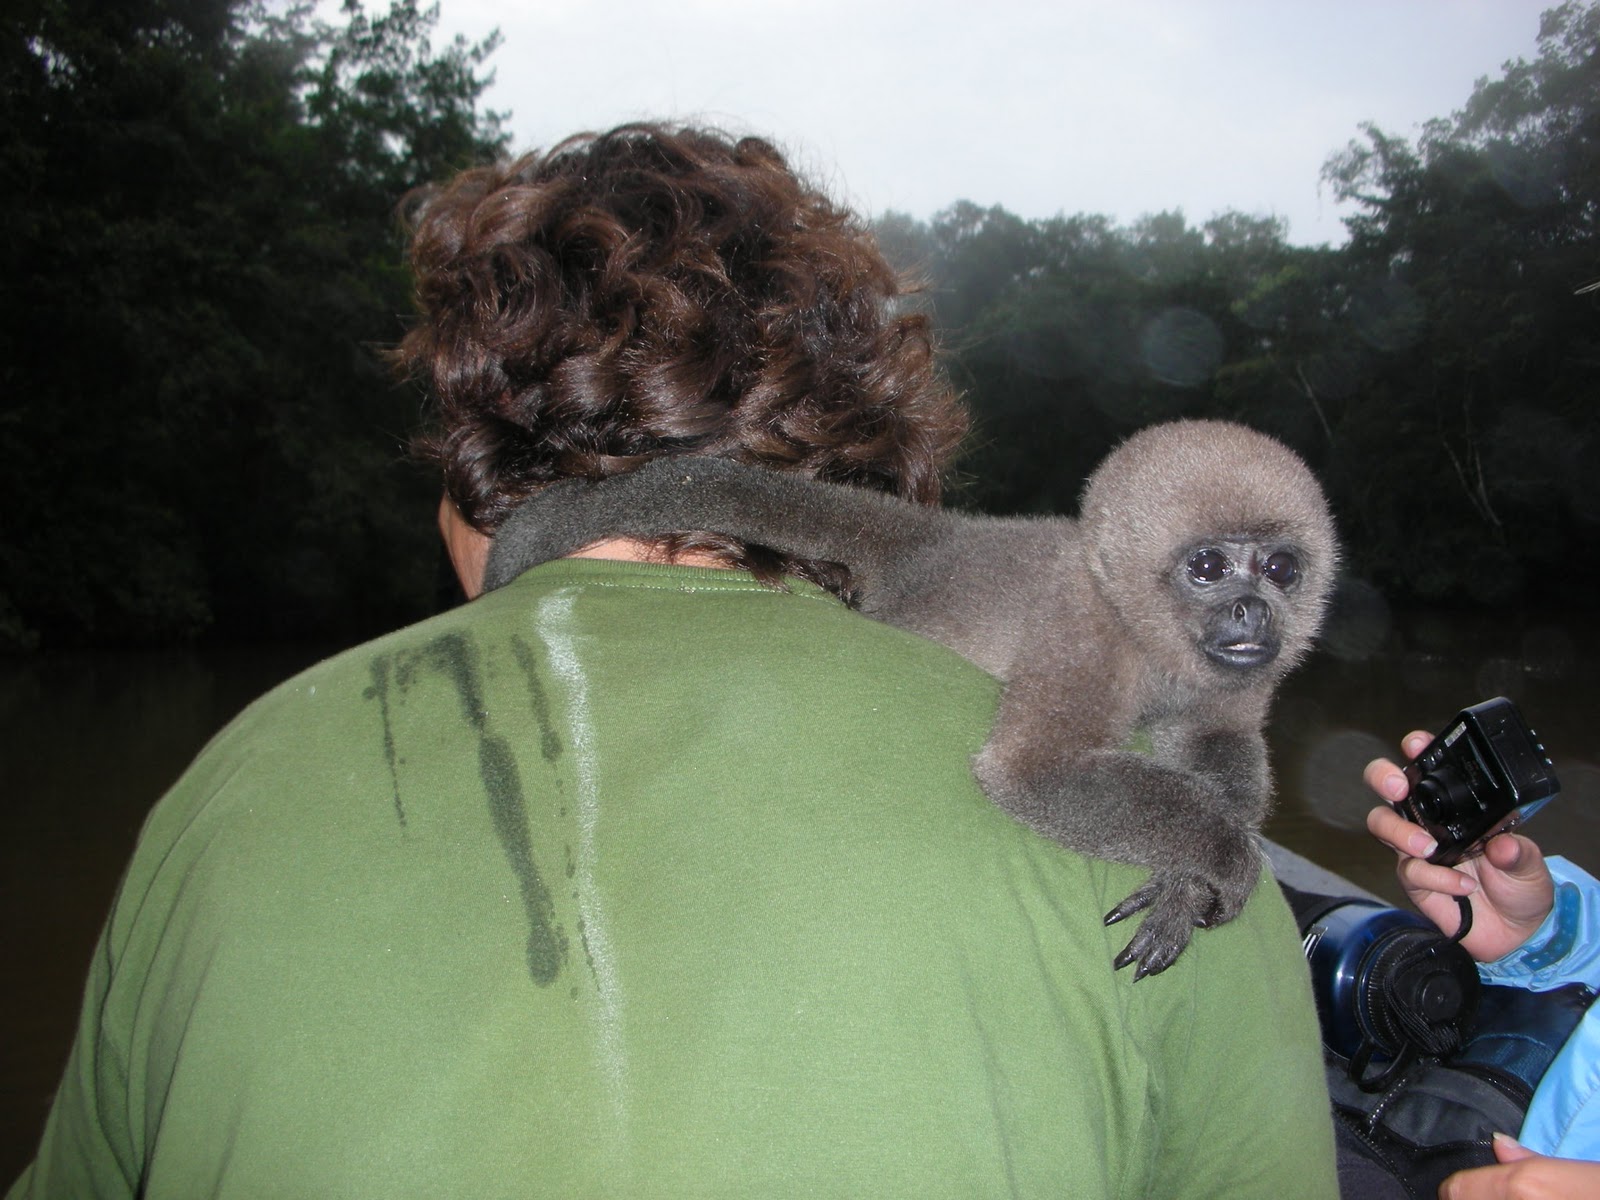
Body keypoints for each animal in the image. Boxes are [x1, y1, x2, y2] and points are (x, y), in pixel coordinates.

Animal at [481, 419, 1340, 978]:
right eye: (1208, 566)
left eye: (1281, 569)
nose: (1252, 612)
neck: (1148, 638)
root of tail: (939, 540)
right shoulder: (1085, 630)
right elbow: (1033, 771)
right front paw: (1222, 856)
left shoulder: (1233, 678)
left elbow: (1216, 746)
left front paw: (1183, 885)